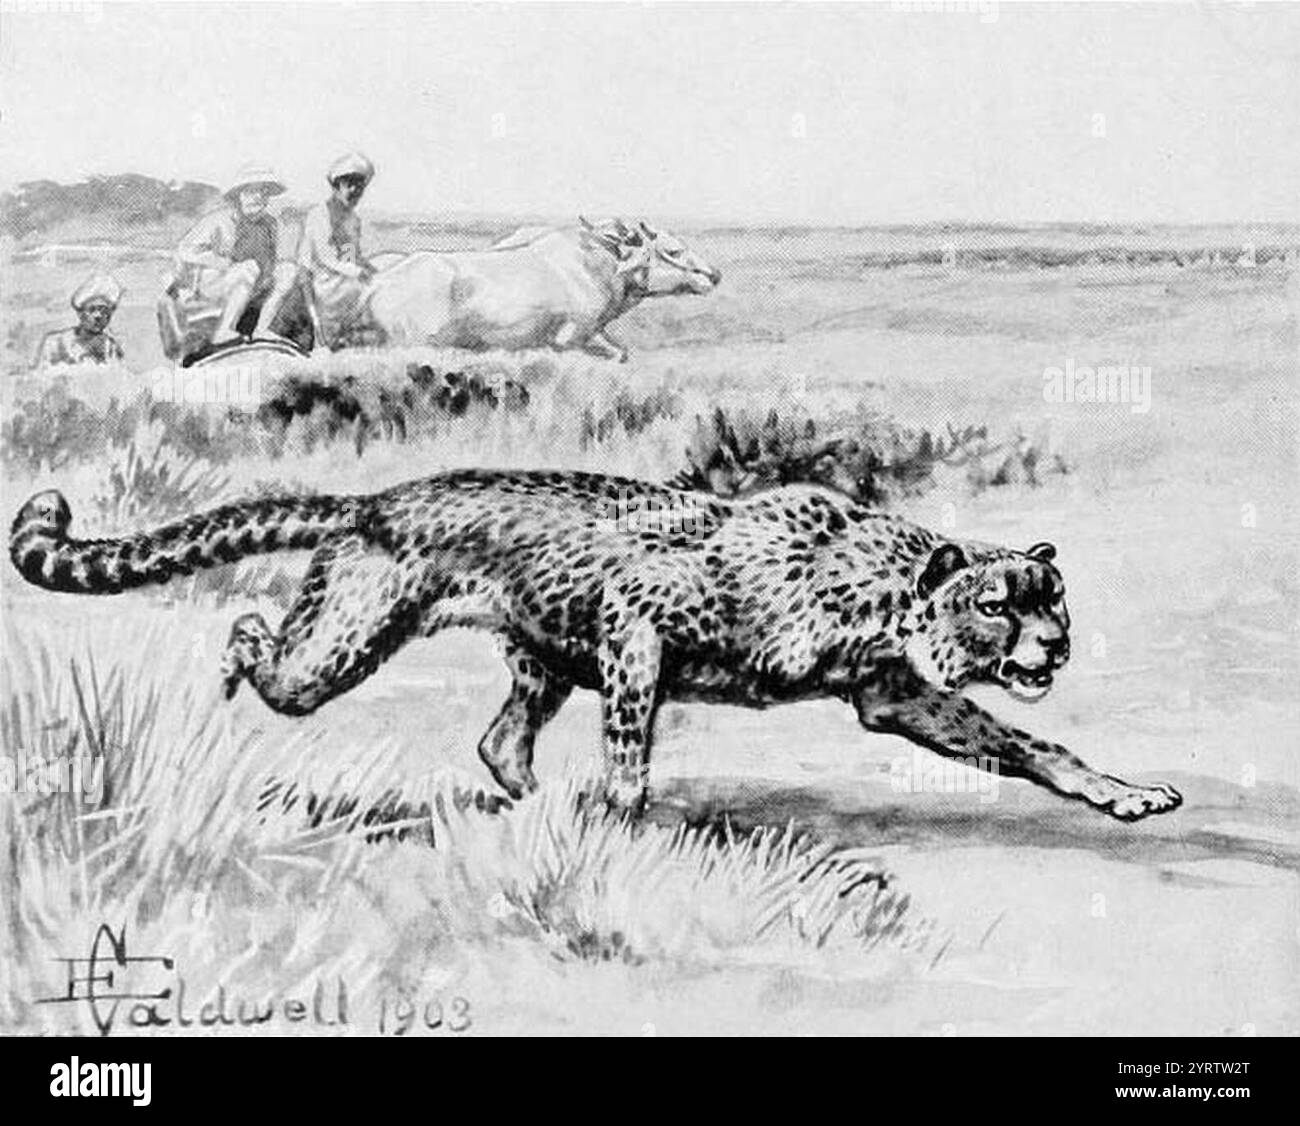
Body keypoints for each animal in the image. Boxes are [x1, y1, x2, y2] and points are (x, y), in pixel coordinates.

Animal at [9, 469, 1182, 821]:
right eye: (999, 606)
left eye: (1055, 603)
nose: (1052, 650)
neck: (884, 585)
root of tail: (378, 495)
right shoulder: (635, 623)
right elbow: (631, 740)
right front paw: (625, 817)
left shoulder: (893, 694)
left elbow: (1027, 745)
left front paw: (1119, 791)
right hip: (336, 649)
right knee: (263, 642)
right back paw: (228, 655)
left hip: (541, 660)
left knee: (497, 740)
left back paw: (530, 803)